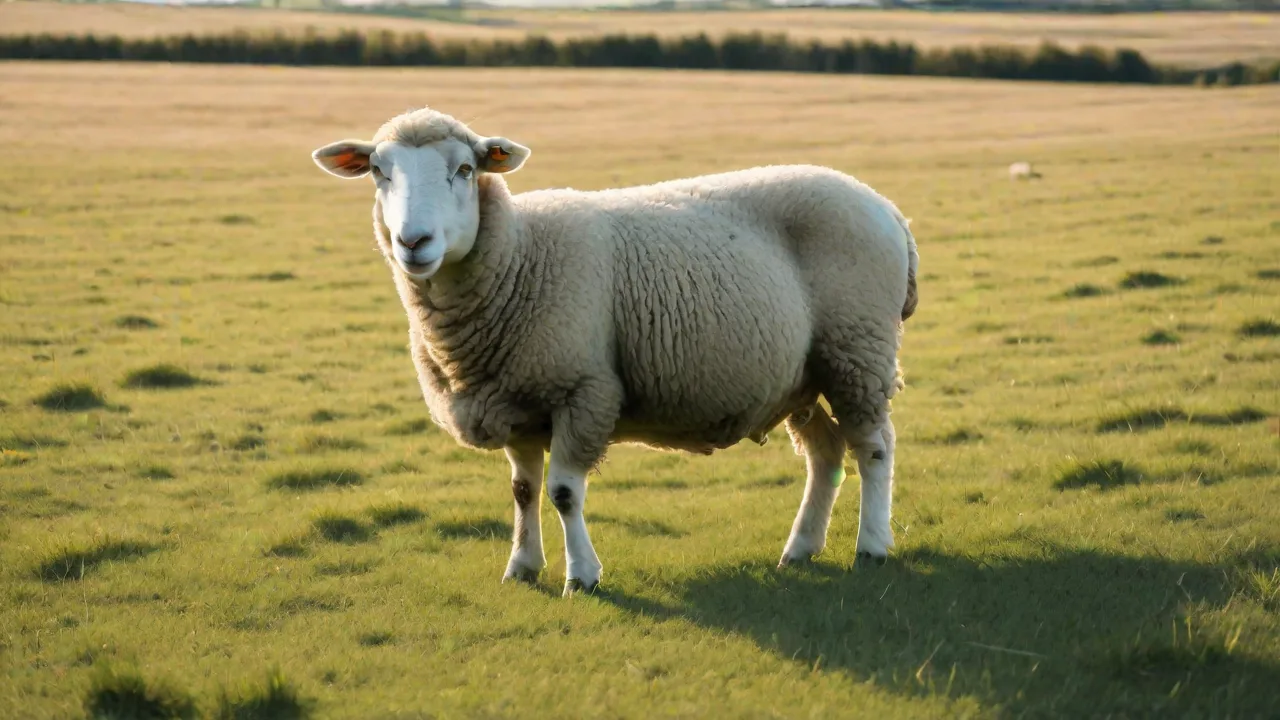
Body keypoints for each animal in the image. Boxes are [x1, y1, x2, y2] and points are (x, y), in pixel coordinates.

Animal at [312, 107, 919, 596]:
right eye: (378, 171)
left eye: (464, 170)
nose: (413, 243)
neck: (520, 256)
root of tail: (886, 207)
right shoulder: (516, 400)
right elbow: (523, 490)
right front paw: (522, 567)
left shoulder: (583, 389)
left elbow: (562, 492)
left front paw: (581, 576)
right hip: (802, 374)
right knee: (825, 454)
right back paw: (800, 549)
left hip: (857, 348)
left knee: (873, 448)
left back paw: (871, 546)